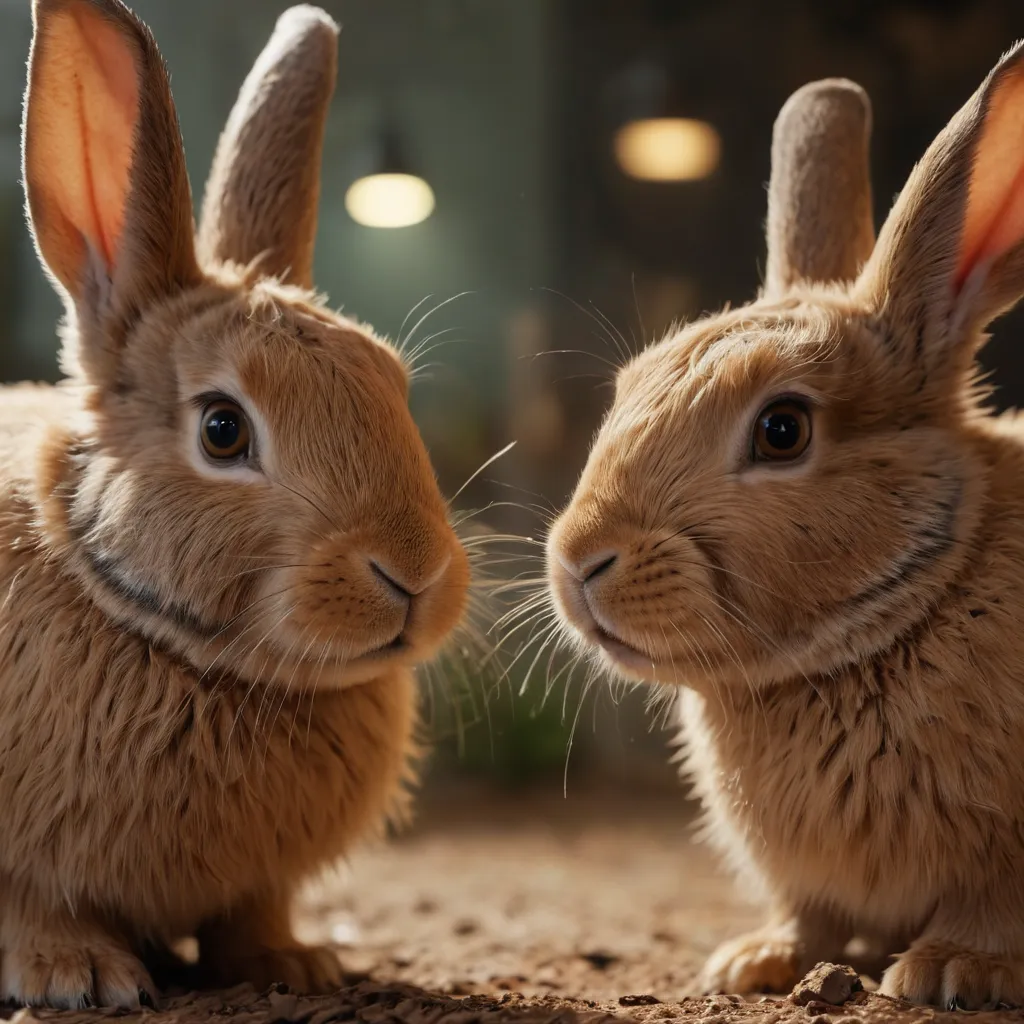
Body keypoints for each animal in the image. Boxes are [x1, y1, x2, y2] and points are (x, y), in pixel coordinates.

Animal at [0, 0, 469, 1010]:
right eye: (222, 430)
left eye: (393, 385)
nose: (414, 574)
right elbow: (30, 904)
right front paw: (77, 975)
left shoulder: (263, 881)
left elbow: (253, 912)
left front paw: (291, 963)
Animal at [545, 38, 1024, 1011]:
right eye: (629, 386)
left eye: (782, 430)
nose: (578, 561)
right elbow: (812, 919)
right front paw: (756, 961)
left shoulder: (1003, 859)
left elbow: (990, 911)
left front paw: (953, 972)